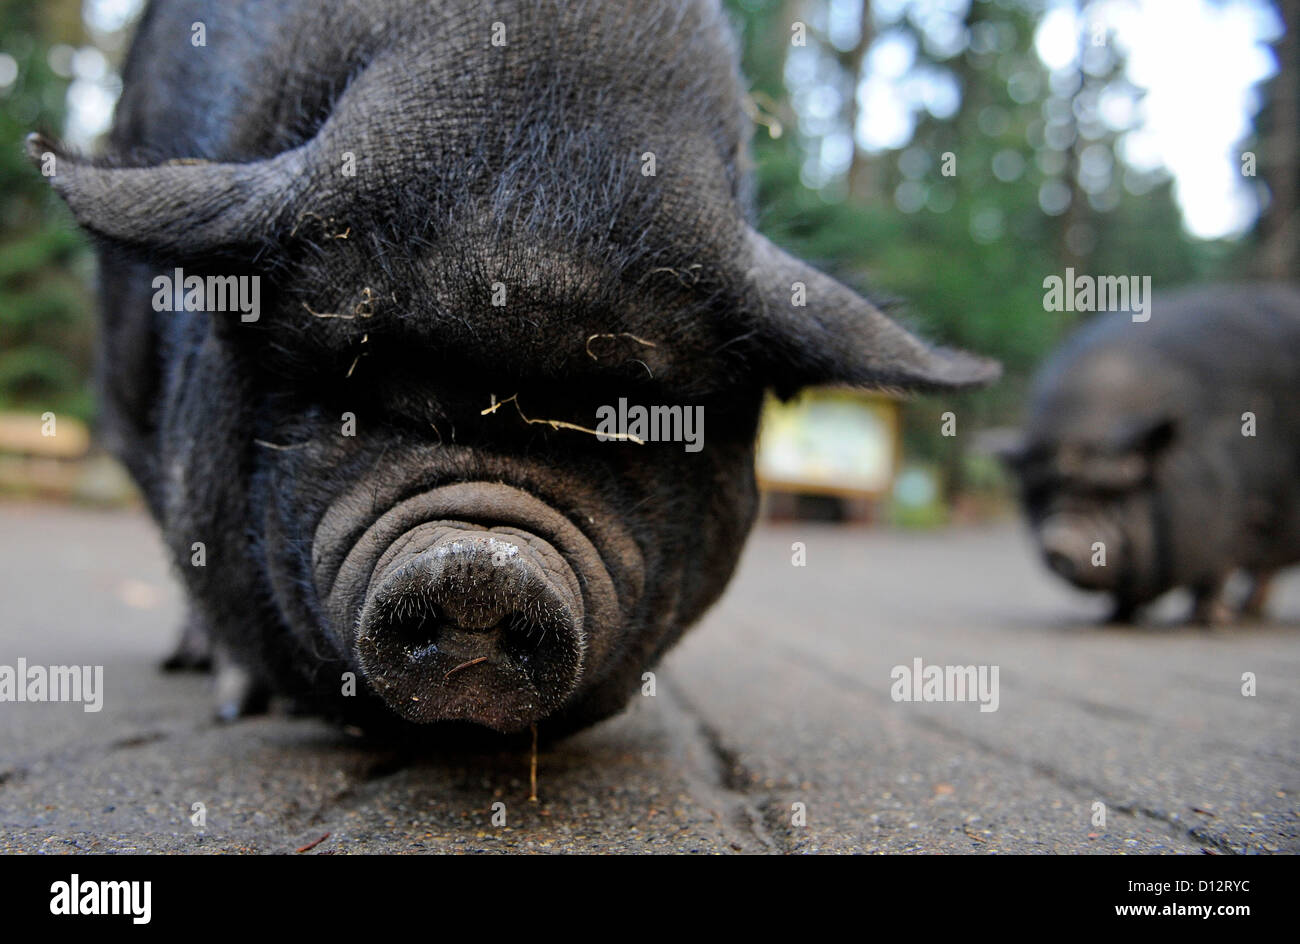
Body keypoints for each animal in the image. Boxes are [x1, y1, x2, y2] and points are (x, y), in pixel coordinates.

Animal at [1003, 284, 1300, 624]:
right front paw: (1116, 618)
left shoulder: (1243, 515)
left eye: (1111, 491)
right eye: (1042, 491)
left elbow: (1219, 571)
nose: (1058, 545)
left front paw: (1213, 621)